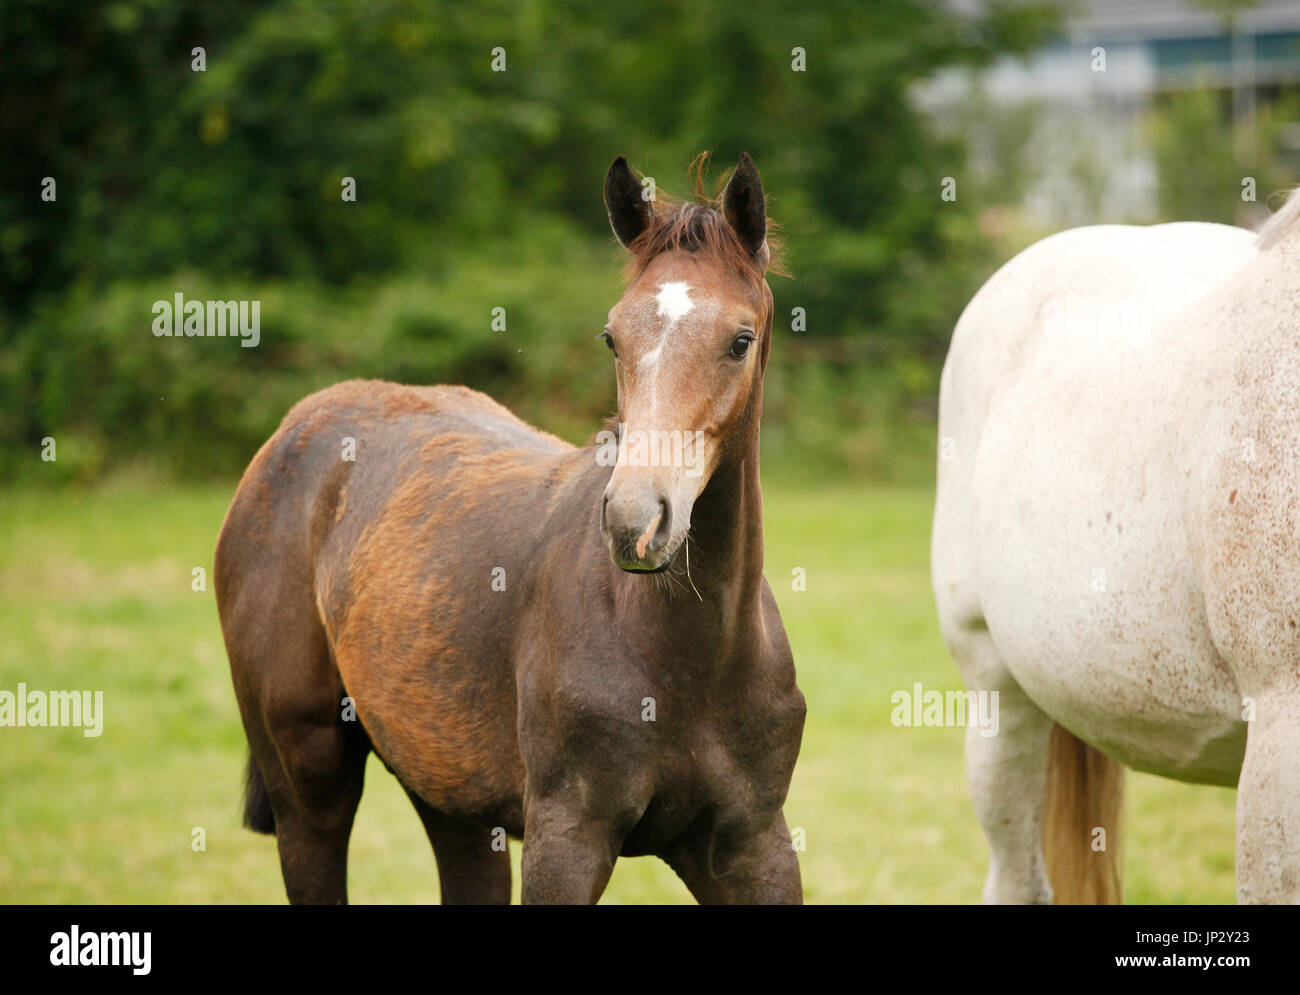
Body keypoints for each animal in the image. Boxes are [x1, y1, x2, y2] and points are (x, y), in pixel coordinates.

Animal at [214, 153, 805, 905]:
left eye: (740, 341)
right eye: (613, 337)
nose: (636, 522)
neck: (692, 659)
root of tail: (297, 425)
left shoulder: (754, 845)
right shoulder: (566, 839)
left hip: (448, 791)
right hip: (309, 780)